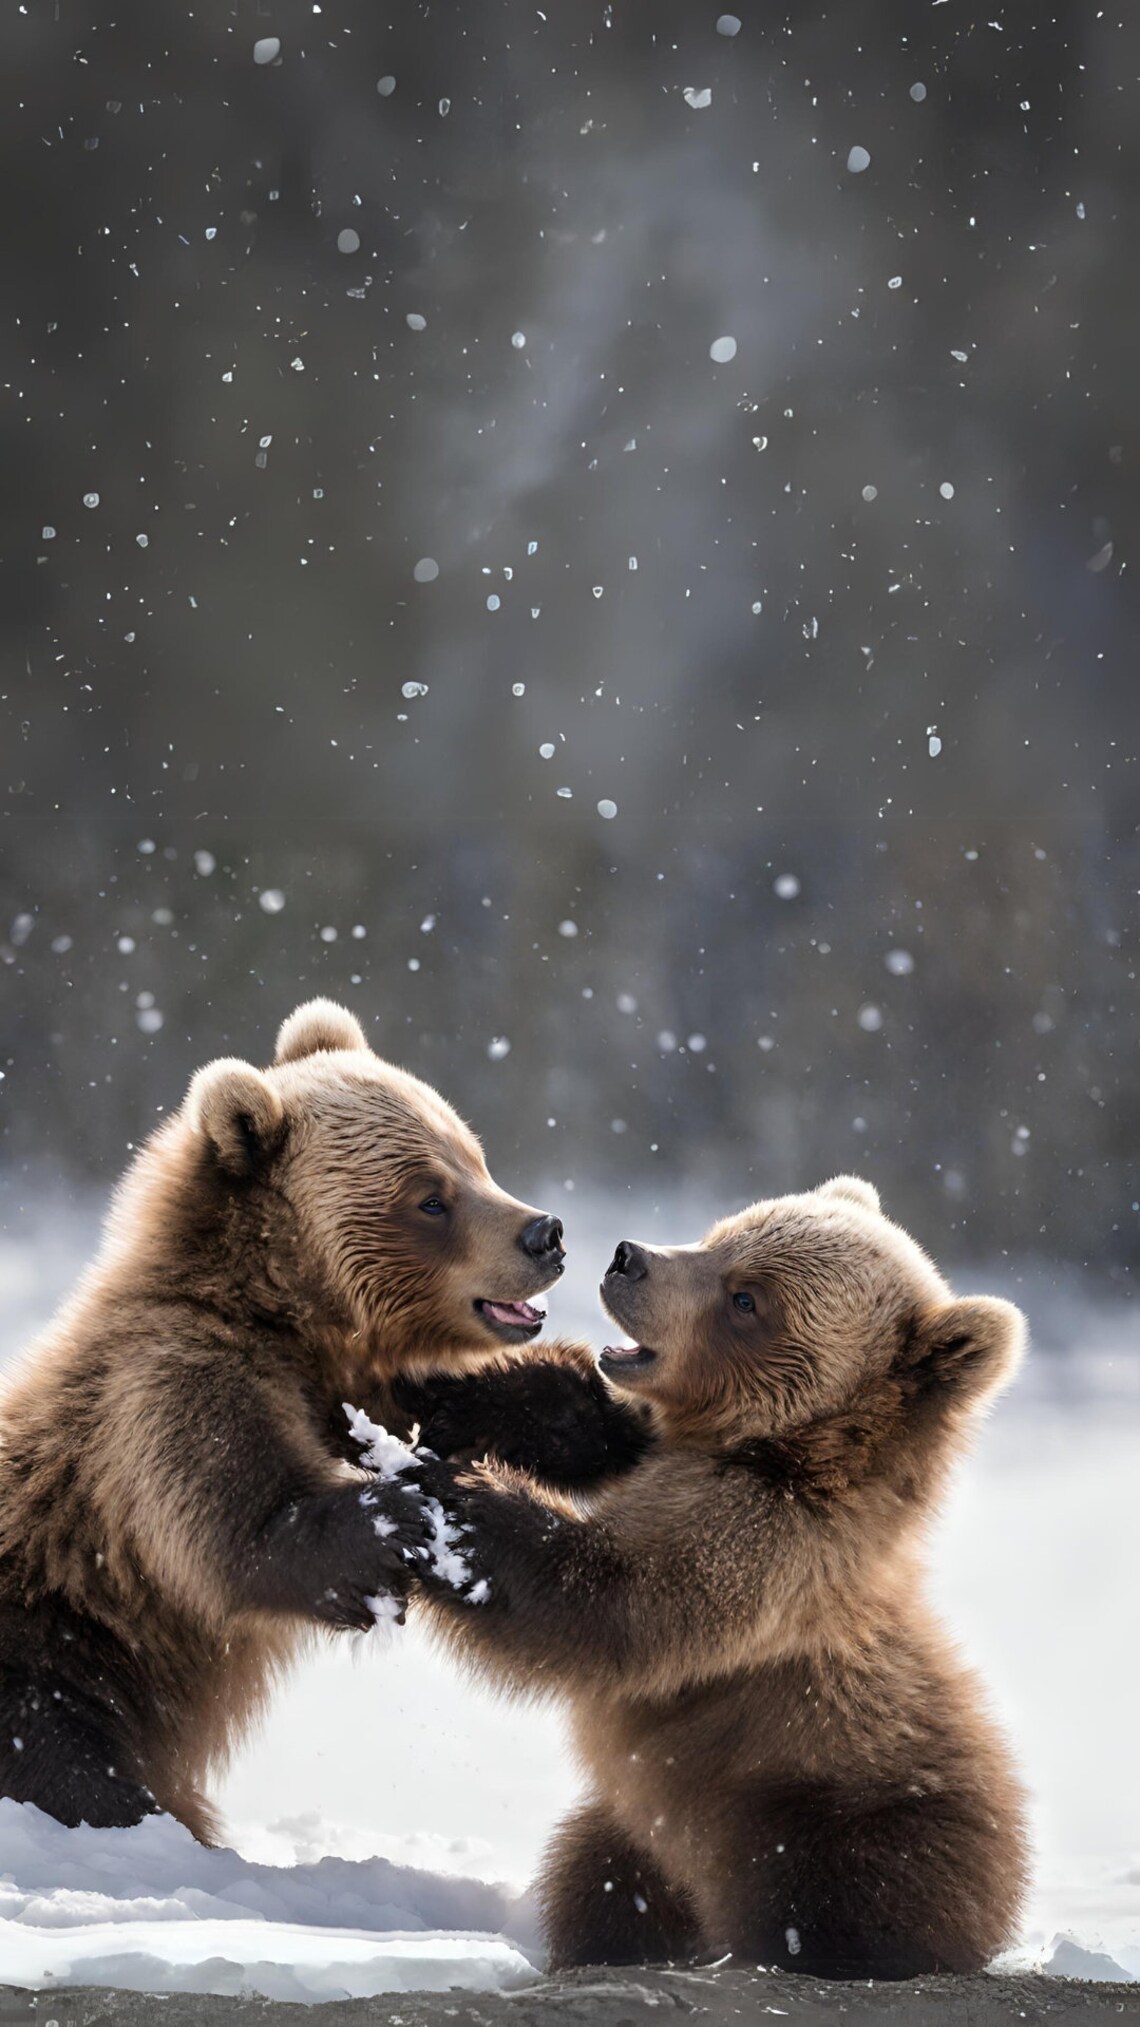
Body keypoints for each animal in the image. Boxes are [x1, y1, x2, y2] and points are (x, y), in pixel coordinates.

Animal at [0, 998, 583, 1841]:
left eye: (474, 1156)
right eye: (429, 1196)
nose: (545, 1233)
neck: (286, 1318)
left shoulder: (358, 1386)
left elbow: (458, 1408)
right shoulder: (174, 1386)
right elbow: (241, 1527)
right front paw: (407, 1517)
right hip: (54, 1656)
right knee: (71, 1767)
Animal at [412, 1176, 1030, 1981]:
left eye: (747, 1299)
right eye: (723, 1235)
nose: (628, 1257)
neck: (773, 1453)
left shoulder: (765, 1546)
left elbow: (611, 1605)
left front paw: (460, 1497)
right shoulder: (657, 1457)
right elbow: (587, 1421)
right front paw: (454, 1398)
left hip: (833, 1818)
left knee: (822, 1907)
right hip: (638, 1834)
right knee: (598, 1885)